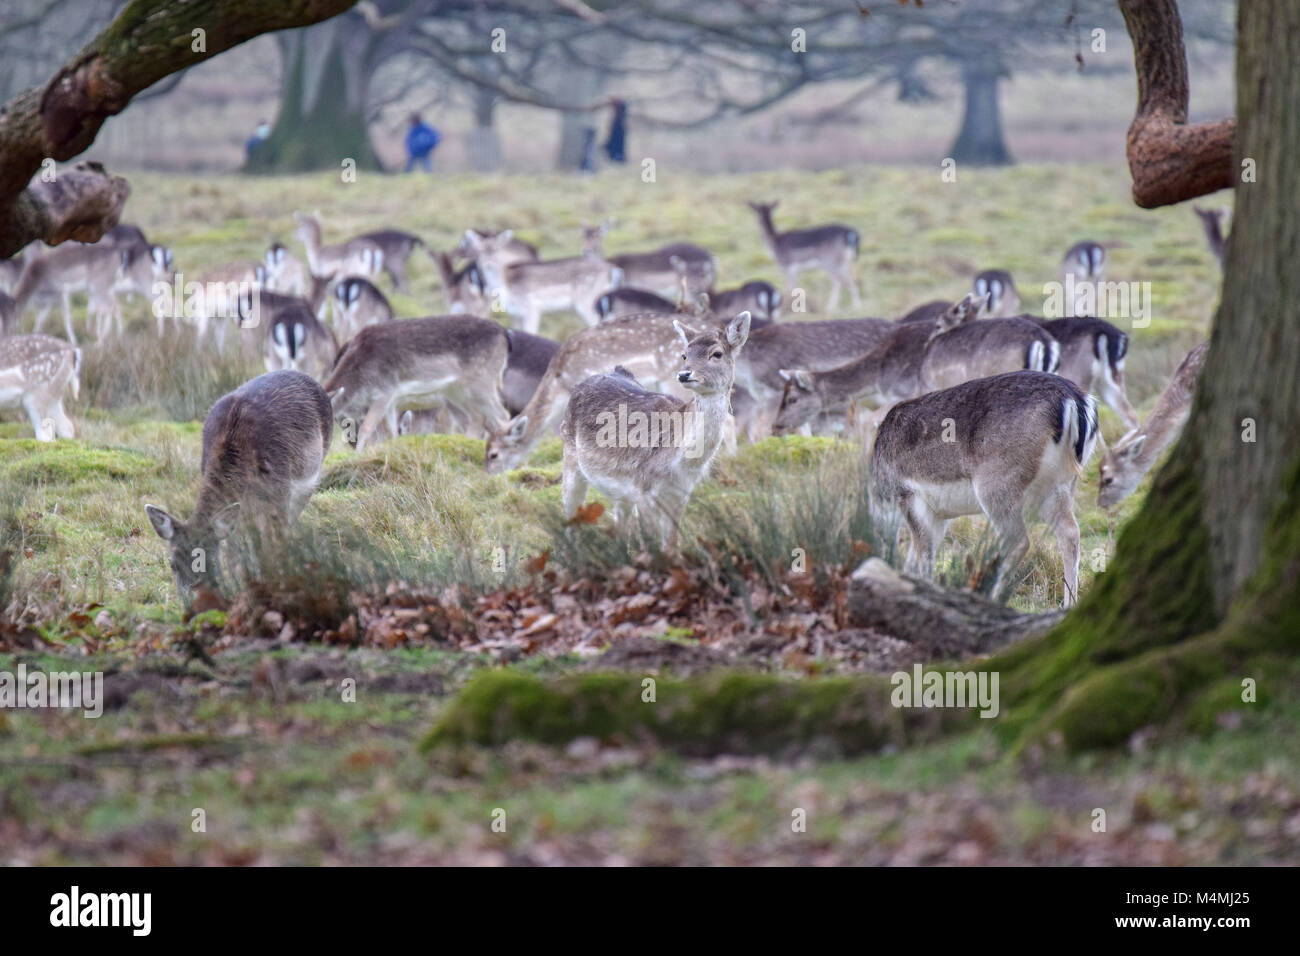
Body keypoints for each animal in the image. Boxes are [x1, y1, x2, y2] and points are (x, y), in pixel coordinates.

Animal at [145, 369, 333, 598]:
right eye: (172, 564)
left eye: (211, 562)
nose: (194, 601)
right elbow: (234, 547)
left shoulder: (281, 493)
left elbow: (274, 541)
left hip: (312, 474)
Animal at [323, 316, 512, 451]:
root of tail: (504, 334)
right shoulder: (391, 402)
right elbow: (391, 432)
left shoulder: (385, 391)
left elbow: (367, 429)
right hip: (456, 392)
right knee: (478, 418)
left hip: (481, 383)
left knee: (502, 416)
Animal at [463, 228, 622, 334]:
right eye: (479, 251)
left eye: (496, 249)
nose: (487, 264)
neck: (506, 284)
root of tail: (613, 270)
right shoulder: (515, 314)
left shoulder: (531, 309)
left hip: (588, 301)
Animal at [561, 312, 751, 551]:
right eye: (684, 355)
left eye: (717, 353)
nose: (685, 374)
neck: (680, 464)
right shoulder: (644, 490)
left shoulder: (680, 495)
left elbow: (670, 547)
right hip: (570, 459)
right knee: (570, 517)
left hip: (622, 493)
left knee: (619, 526)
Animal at [871, 370, 1100, 606]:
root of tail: (1076, 401)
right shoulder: (940, 514)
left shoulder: (909, 496)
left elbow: (924, 554)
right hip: (1059, 484)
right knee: (1070, 532)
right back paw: (1070, 604)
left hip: (995, 484)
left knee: (1017, 540)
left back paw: (992, 597)